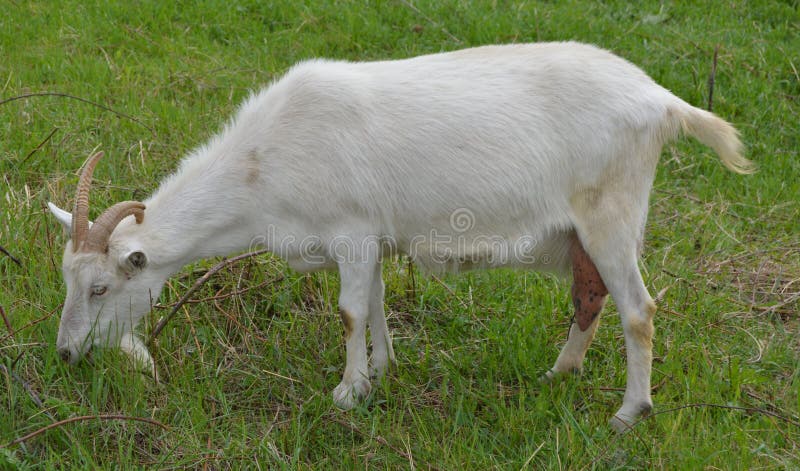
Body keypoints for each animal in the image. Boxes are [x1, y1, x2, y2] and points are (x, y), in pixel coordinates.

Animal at [48, 42, 752, 431]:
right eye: (68, 281)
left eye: (102, 287)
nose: (65, 354)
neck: (263, 162)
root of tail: (662, 101)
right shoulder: (374, 242)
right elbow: (377, 304)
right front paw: (381, 372)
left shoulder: (352, 231)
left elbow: (349, 311)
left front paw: (346, 393)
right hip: (585, 232)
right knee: (590, 296)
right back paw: (559, 375)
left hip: (612, 213)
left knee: (639, 310)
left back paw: (628, 415)